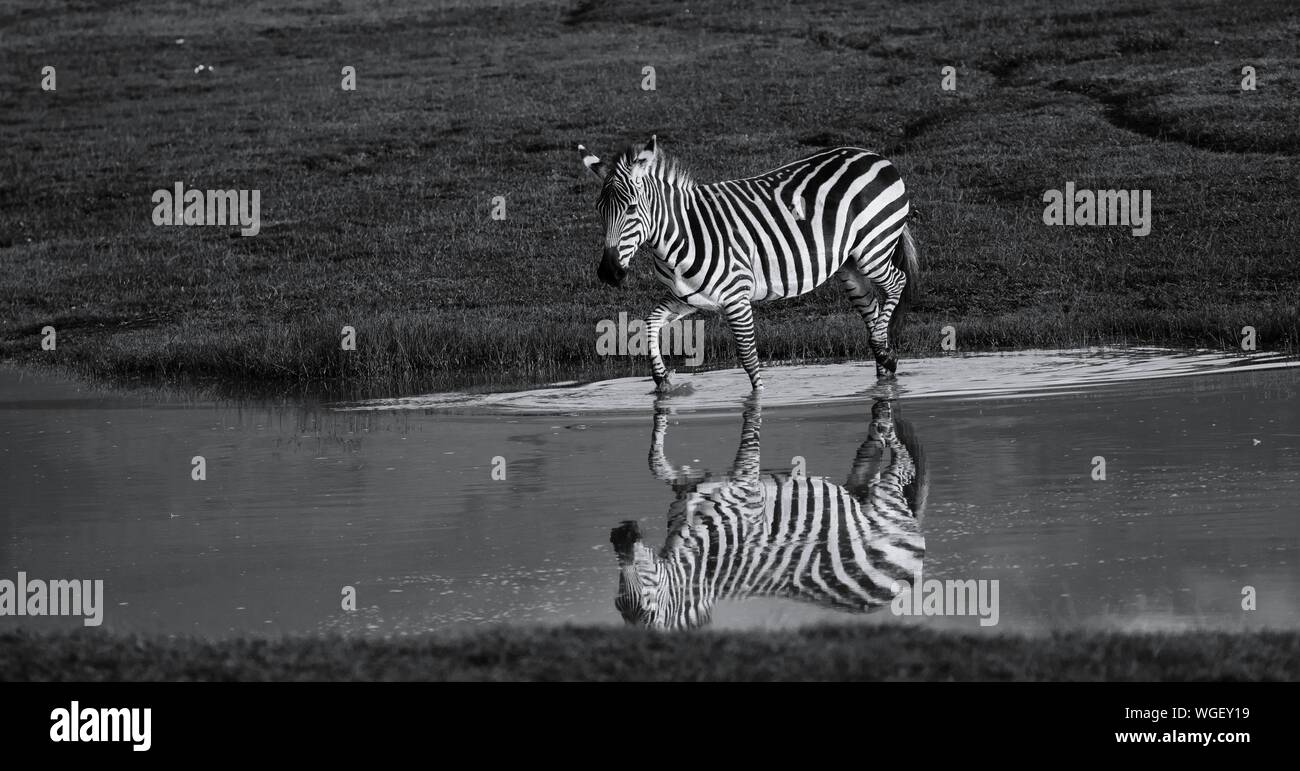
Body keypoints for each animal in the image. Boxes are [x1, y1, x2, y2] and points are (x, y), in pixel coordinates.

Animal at [578, 136, 920, 392]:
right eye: (599, 209)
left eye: (632, 209)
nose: (608, 273)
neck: (681, 232)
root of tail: (872, 154)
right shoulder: (688, 297)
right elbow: (650, 322)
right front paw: (662, 379)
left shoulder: (736, 298)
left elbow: (749, 359)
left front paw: (757, 401)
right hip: (849, 263)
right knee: (871, 307)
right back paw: (884, 364)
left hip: (873, 247)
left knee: (897, 282)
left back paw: (882, 351)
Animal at [610, 397, 928, 630]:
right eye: (617, 605)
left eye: (648, 613)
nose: (621, 534)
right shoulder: (691, 486)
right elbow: (656, 464)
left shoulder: (744, 485)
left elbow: (750, 427)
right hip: (867, 492)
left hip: (887, 496)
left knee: (904, 462)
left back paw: (887, 424)